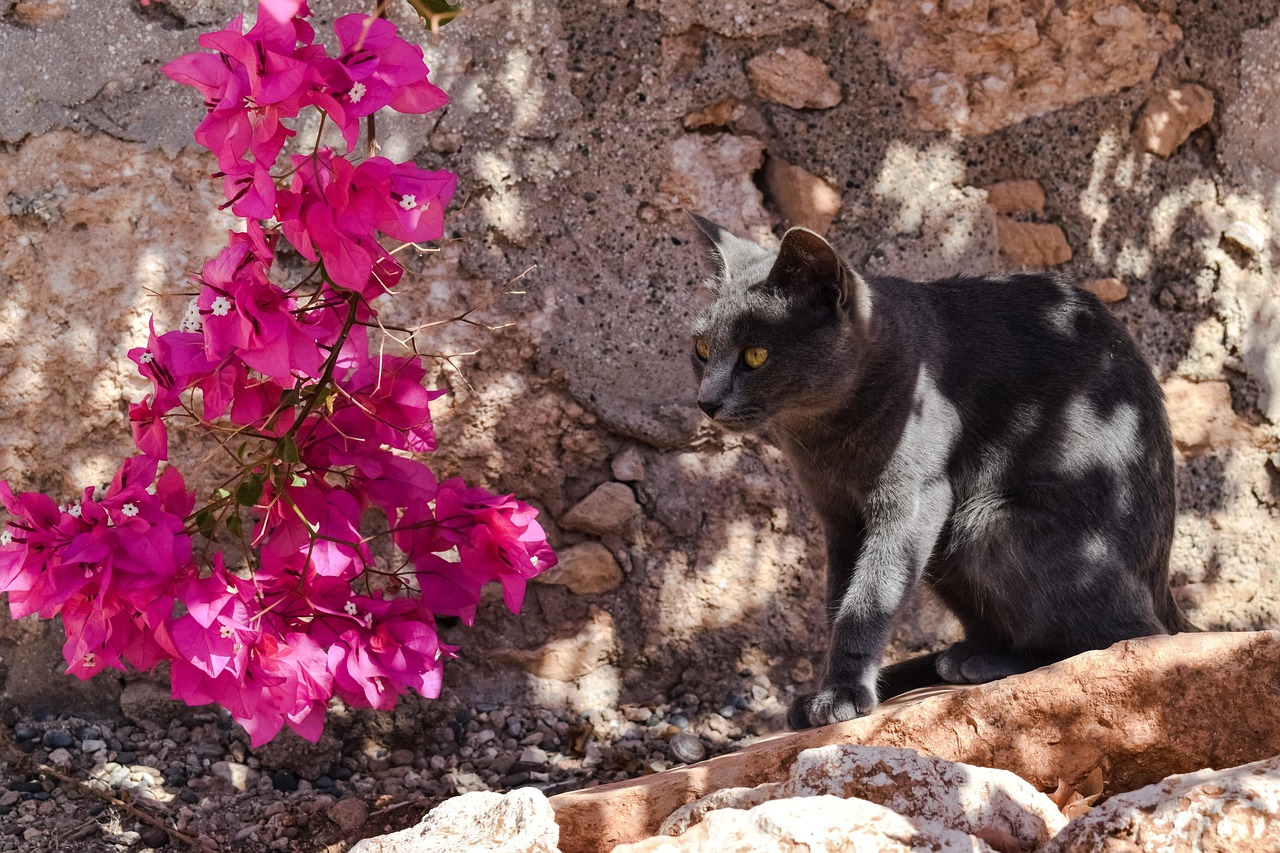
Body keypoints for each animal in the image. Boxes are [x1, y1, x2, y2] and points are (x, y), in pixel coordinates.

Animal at [686, 212, 1192, 722]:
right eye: (702, 350)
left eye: (755, 356)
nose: (706, 401)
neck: (823, 437)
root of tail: (1163, 591)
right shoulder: (838, 518)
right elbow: (838, 598)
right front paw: (826, 691)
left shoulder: (913, 499)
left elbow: (869, 597)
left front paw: (842, 695)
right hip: (951, 548)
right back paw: (942, 661)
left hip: (989, 520)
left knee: (1117, 636)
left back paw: (979, 662)